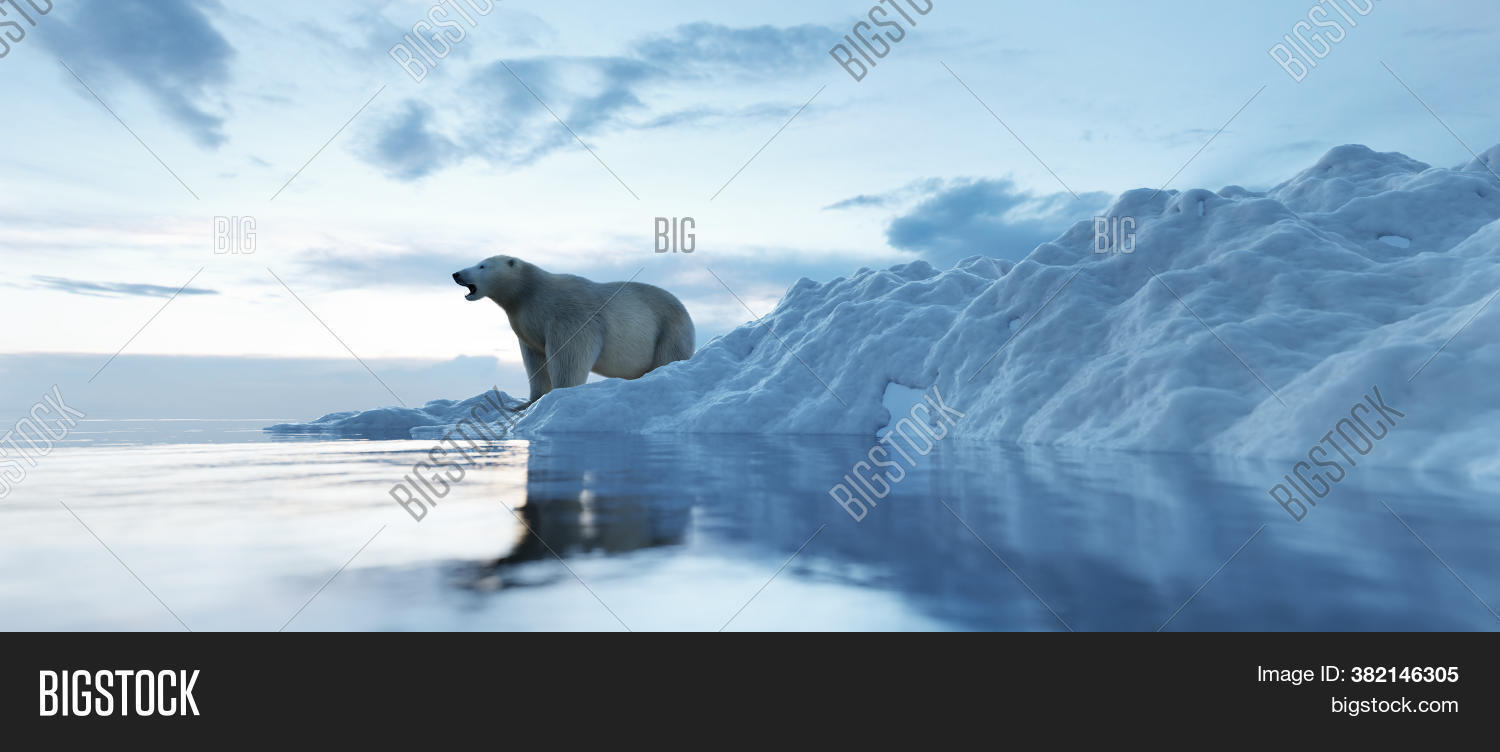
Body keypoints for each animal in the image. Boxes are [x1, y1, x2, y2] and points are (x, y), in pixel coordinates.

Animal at [453, 255, 695, 407]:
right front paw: (528, 403)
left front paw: (560, 394)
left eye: (482, 265)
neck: (530, 292)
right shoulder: (528, 325)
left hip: (669, 330)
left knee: (669, 355)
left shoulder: (568, 314)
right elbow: (535, 360)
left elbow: (569, 354)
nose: (457, 274)